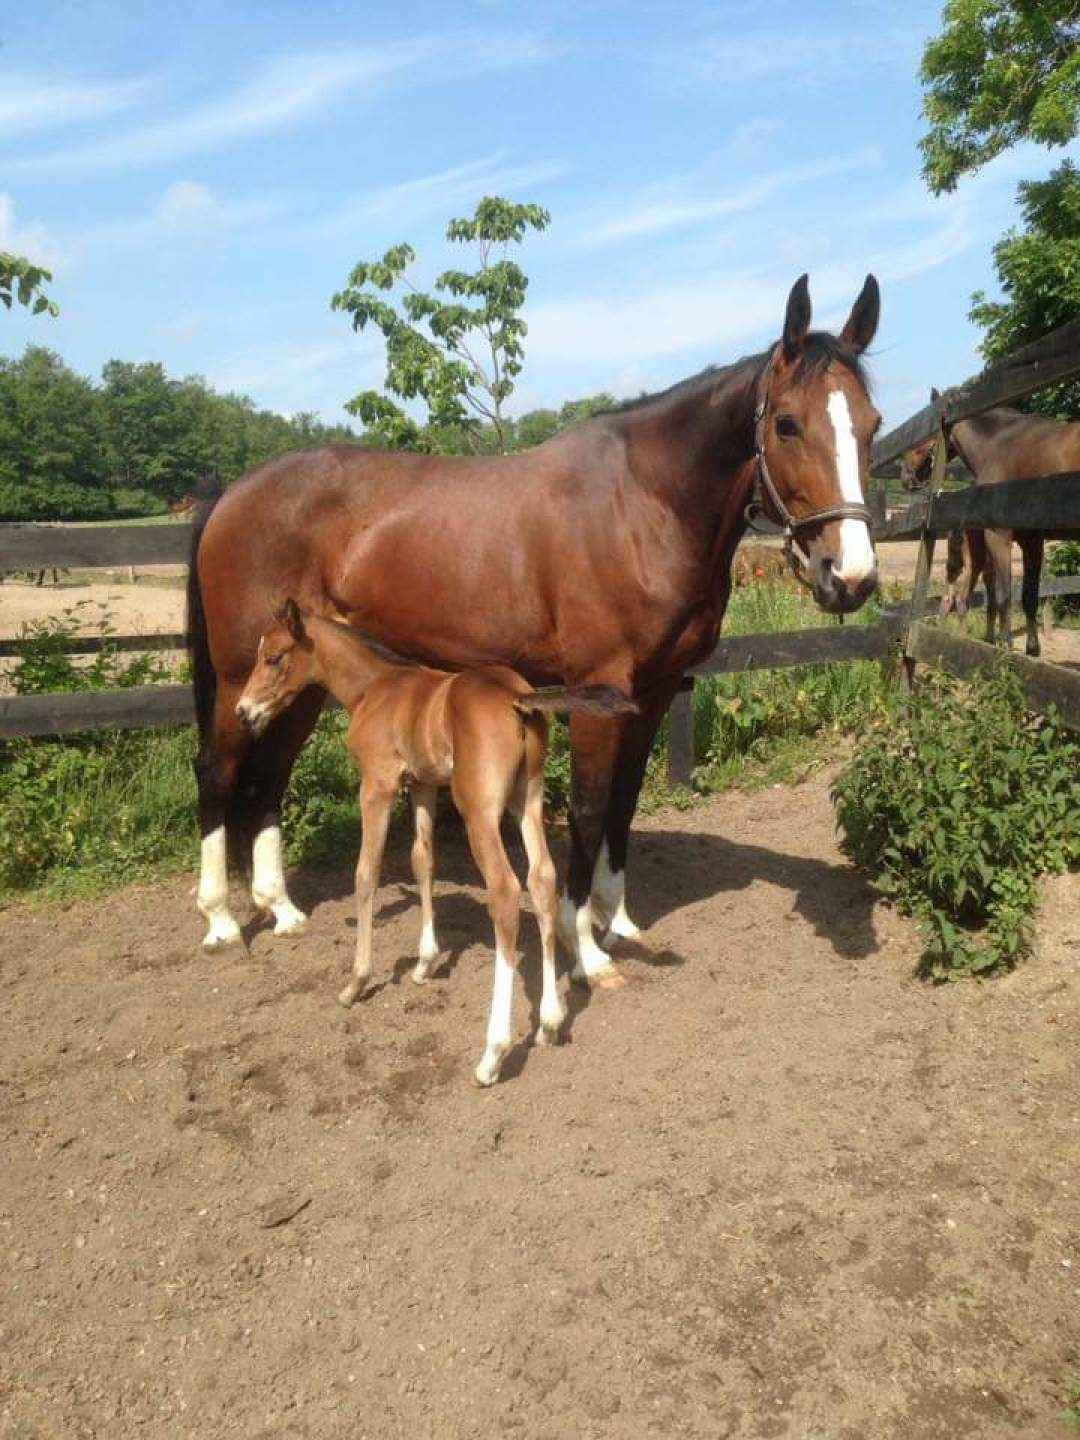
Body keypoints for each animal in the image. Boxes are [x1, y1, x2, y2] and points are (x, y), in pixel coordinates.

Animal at [187, 273, 882, 974]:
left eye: (872, 424)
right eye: (787, 424)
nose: (849, 576)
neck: (641, 506)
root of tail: (233, 493)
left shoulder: (655, 693)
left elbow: (625, 801)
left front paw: (616, 919)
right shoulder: (598, 694)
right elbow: (589, 807)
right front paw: (583, 943)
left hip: (296, 676)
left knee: (270, 776)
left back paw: (281, 908)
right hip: (241, 676)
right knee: (218, 769)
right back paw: (220, 918)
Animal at [236, 600, 637, 1084]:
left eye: (273, 657)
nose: (243, 711)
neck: (374, 689)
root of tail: (517, 698)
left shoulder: (377, 785)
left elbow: (366, 872)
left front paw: (356, 982)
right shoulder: (423, 785)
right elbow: (422, 860)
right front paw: (425, 963)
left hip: (477, 809)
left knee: (505, 891)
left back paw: (493, 1052)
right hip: (527, 798)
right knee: (542, 879)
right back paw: (550, 1023)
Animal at [900, 395, 1080, 656]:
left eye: (930, 431)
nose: (905, 474)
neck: (1000, 445)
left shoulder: (998, 535)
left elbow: (1004, 596)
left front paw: (1006, 647)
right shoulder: (1032, 541)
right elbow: (1028, 596)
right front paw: (1032, 650)